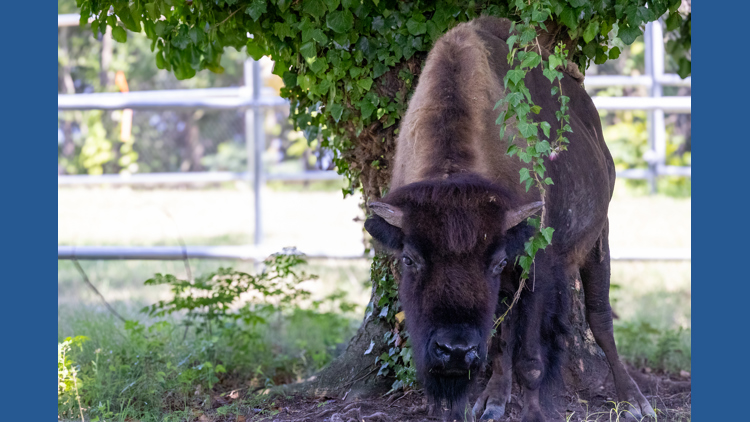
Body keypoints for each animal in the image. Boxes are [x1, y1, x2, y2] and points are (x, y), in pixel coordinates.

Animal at [364, 17, 655, 422]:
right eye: (409, 259)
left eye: (496, 261)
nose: (455, 351)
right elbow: (502, 342)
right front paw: (490, 403)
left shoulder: (534, 264)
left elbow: (529, 357)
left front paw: (532, 412)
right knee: (507, 335)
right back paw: (494, 399)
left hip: (599, 239)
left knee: (600, 318)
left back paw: (633, 402)